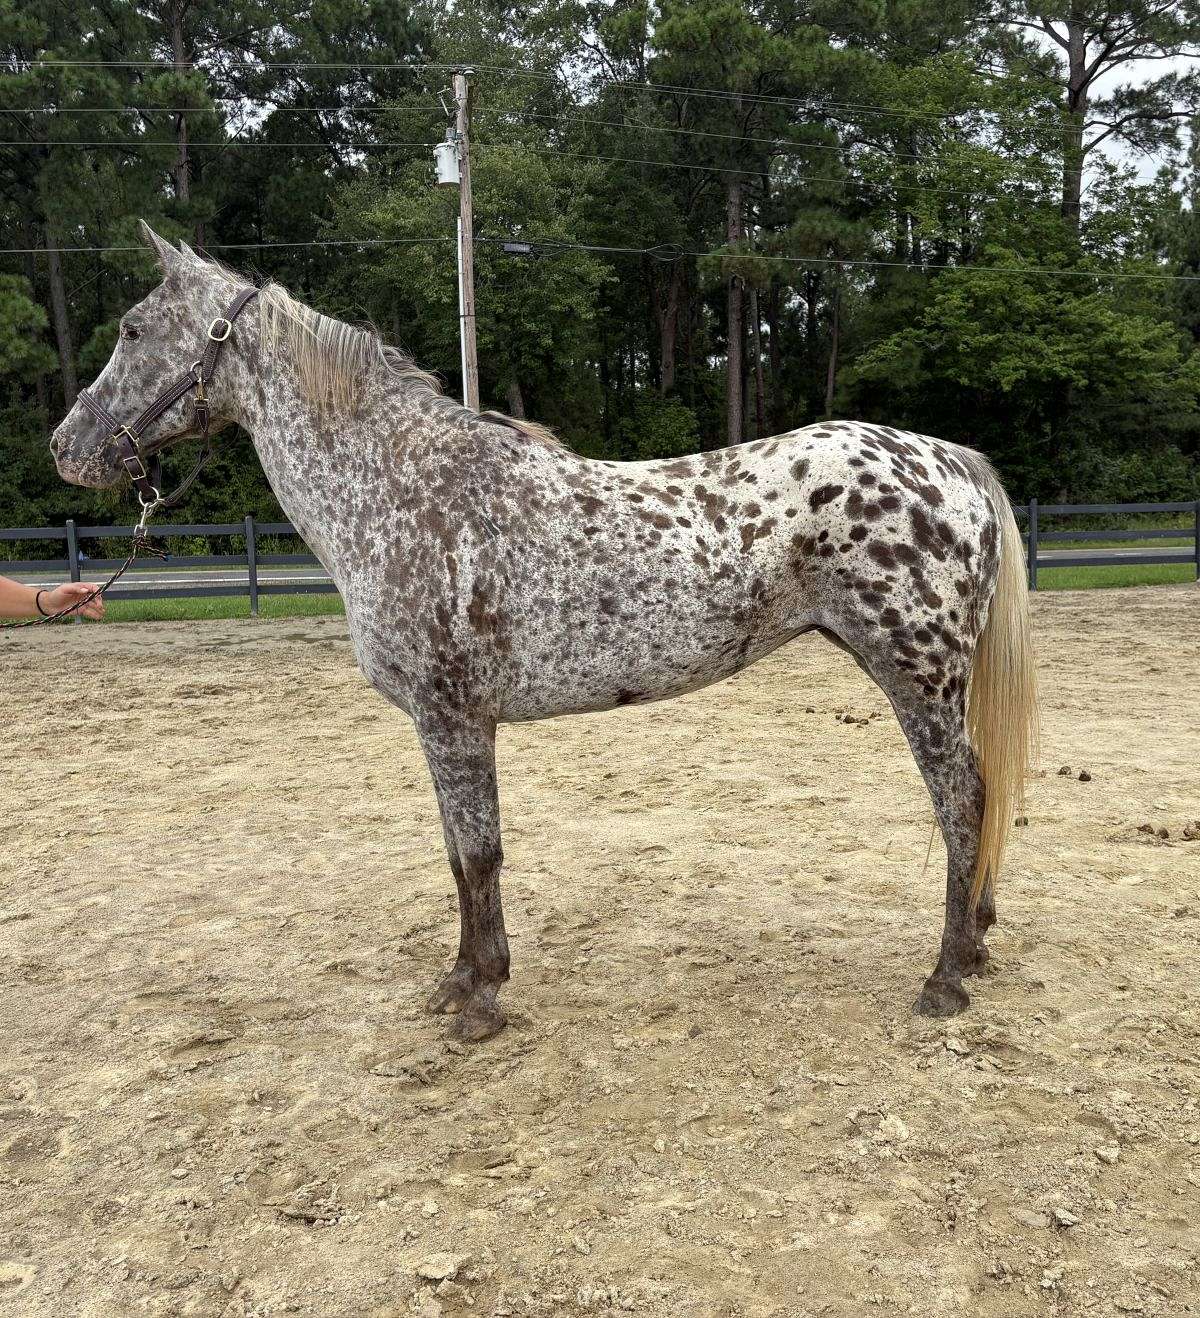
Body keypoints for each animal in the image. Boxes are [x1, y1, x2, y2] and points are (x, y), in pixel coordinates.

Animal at [51, 224, 1038, 1042]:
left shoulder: (453, 720)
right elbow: (459, 858)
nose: (67, 448)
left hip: (917, 677)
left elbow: (481, 856)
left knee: (964, 801)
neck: (399, 490)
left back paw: (947, 977)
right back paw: (976, 947)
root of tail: (949, 460)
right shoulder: (443, 726)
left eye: (133, 329)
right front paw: (458, 981)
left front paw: (483, 1000)